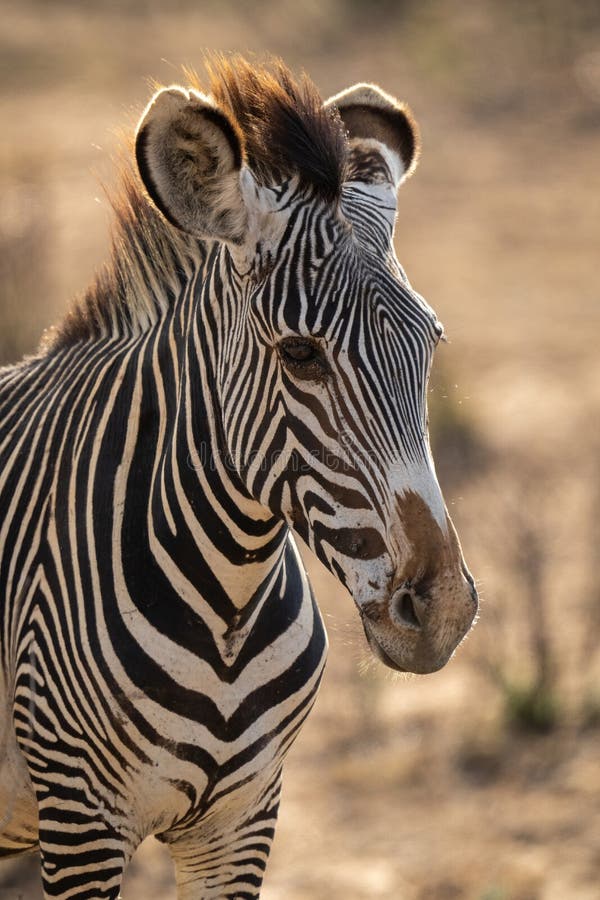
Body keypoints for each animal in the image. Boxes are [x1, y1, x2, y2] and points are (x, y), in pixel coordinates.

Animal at [0, 57, 478, 899]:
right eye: (300, 354)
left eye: (431, 343)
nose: (445, 611)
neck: (230, 598)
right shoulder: (81, 820)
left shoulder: (241, 822)